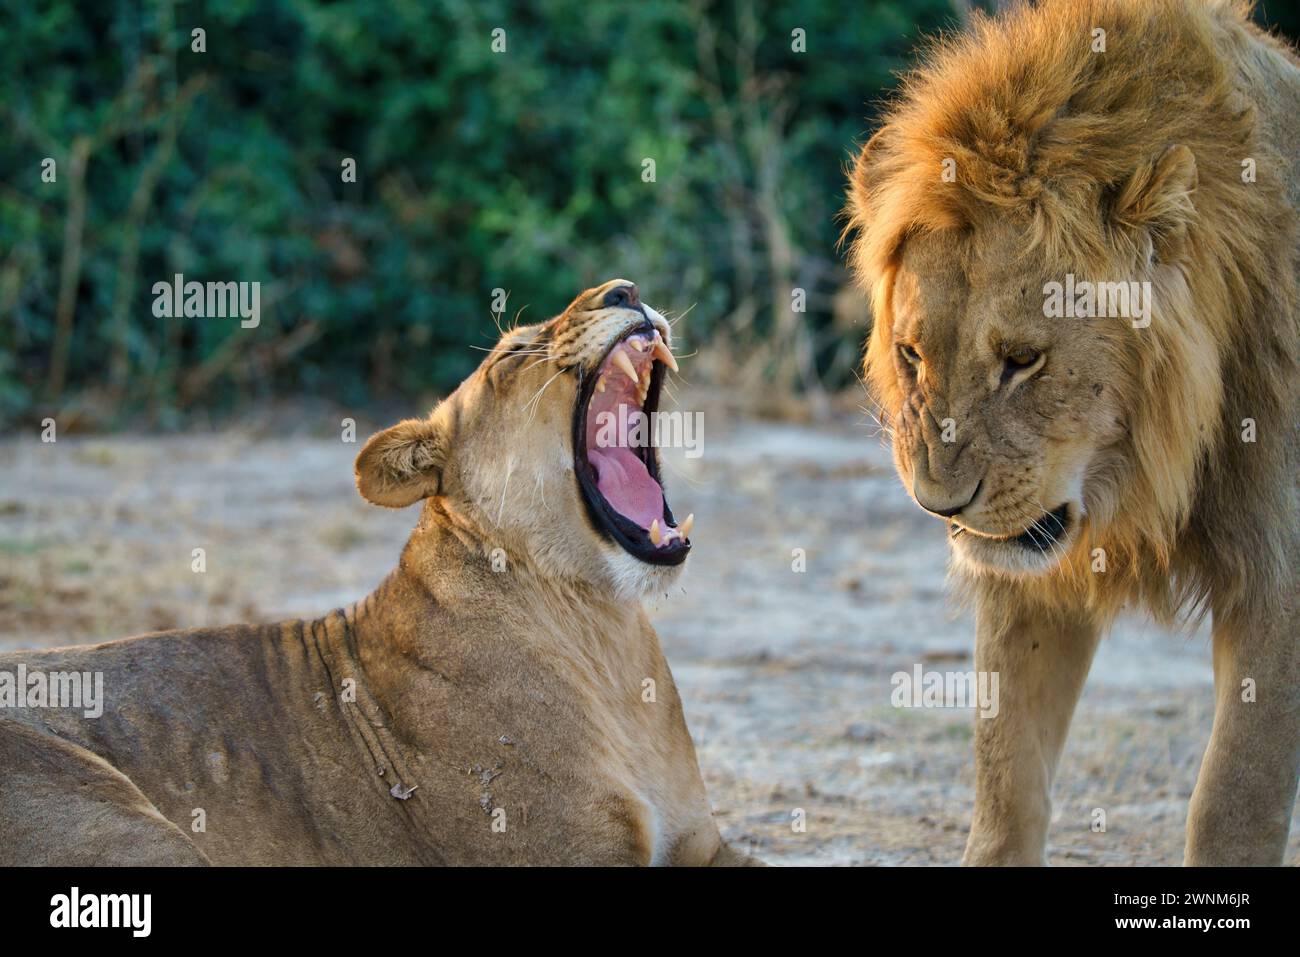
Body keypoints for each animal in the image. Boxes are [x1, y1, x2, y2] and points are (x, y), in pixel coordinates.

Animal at [844, 0, 1299, 865]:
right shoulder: (1030, 574)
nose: (938, 504)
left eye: (1023, 360)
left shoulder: (1282, 580)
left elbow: (1234, 800)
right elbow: (1006, 782)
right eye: (912, 353)